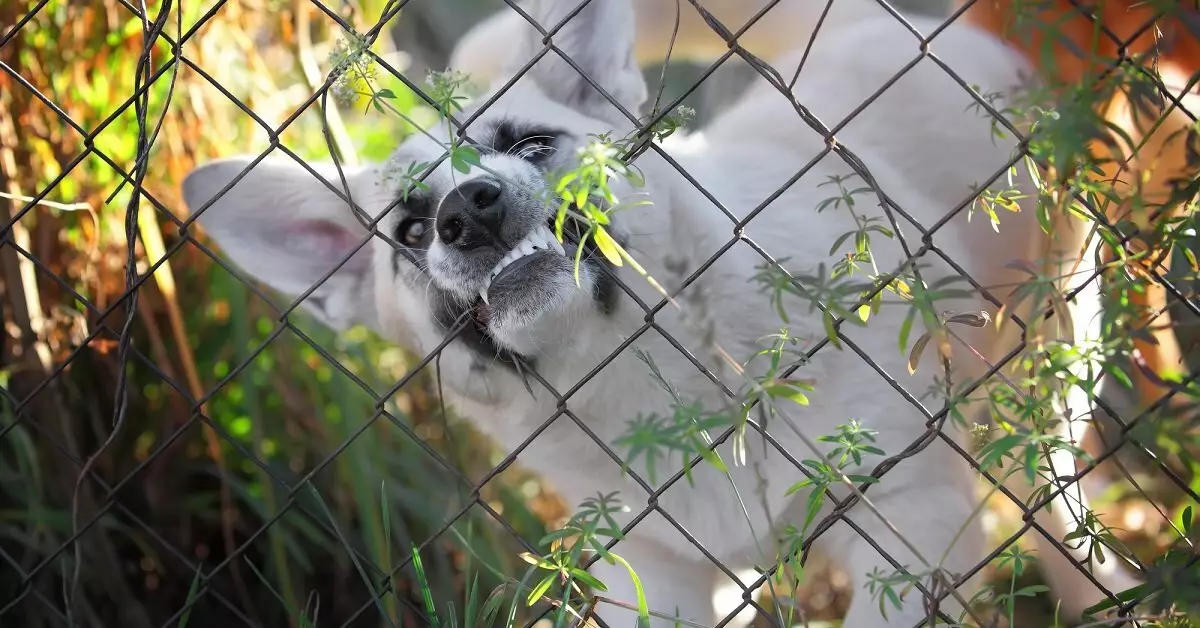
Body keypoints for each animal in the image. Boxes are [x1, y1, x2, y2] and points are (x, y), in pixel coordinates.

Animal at [182, 0, 1137, 624]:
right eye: (410, 231)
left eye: (531, 144)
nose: (471, 212)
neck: (660, 386)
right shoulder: (654, 575)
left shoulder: (910, 519)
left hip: (1045, 382)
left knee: (1056, 503)